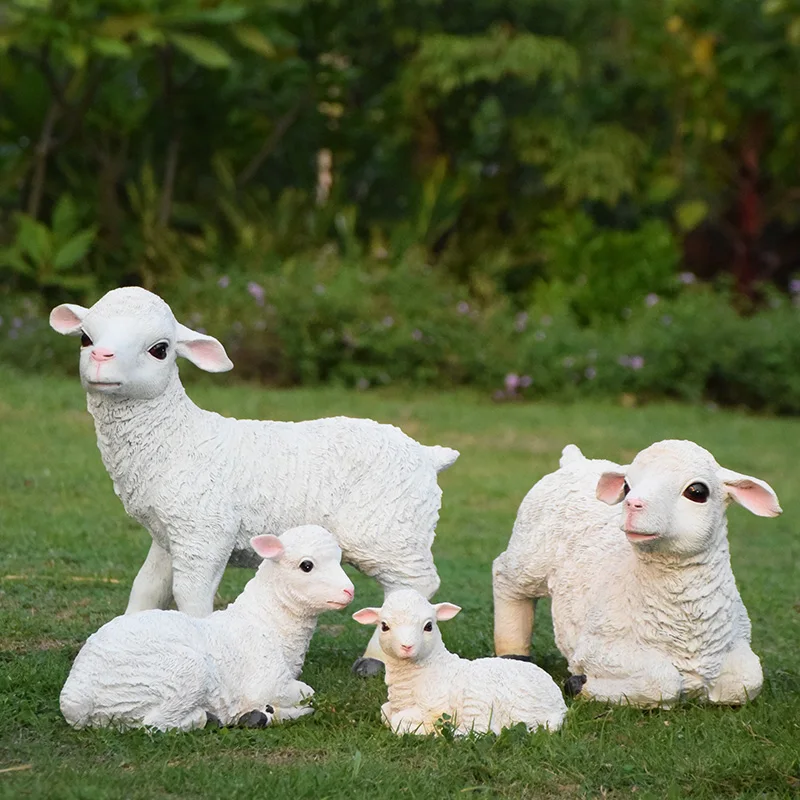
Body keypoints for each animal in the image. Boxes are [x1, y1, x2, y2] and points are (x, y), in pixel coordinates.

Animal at [49, 286, 459, 676]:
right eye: (85, 337)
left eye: (160, 349)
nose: (101, 357)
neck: (177, 437)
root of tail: (428, 454)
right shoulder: (169, 535)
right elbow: (147, 588)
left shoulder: (205, 533)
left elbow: (190, 595)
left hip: (390, 531)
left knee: (416, 584)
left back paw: (374, 659)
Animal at [60, 524, 355, 731]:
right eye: (307, 565)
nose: (349, 591)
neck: (266, 621)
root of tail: (75, 698)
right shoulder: (266, 681)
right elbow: (309, 693)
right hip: (177, 674)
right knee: (154, 724)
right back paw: (214, 717)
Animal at [352, 589, 567, 736]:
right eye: (384, 626)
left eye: (429, 626)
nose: (407, 646)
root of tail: (558, 706)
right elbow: (384, 711)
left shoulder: (437, 709)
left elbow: (400, 720)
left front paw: (425, 730)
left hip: (480, 697)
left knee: (485, 730)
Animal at [492, 440, 782, 707]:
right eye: (627, 487)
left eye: (697, 491)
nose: (632, 503)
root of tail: (576, 462)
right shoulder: (597, 647)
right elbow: (662, 681)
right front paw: (578, 684)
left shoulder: (739, 642)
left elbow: (748, 680)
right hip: (529, 553)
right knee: (505, 579)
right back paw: (514, 654)